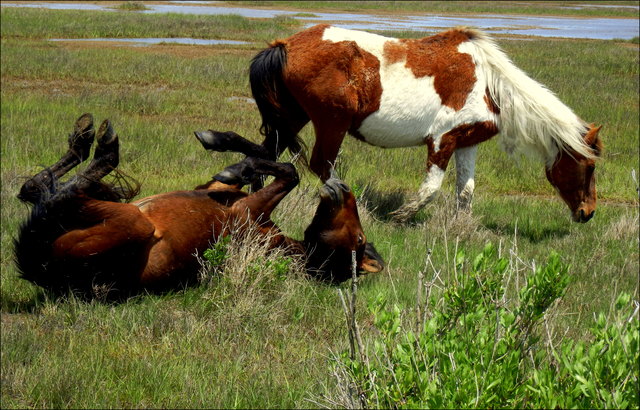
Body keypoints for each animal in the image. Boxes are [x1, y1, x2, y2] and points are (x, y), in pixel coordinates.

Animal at [14, 113, 384, 299]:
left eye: (360, 239)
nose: (343, 187)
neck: (278, 244)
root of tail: (42, 272)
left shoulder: (247, 210)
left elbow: (288, 172)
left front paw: (232, 158)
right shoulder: (218, 190)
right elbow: (259, 157)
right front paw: (224, 147)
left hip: (131, 221)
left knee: (55, 192)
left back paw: (99, 144)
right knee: (35, 187)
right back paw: (83, 138)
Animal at [206, 24, 603, 223]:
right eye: (589, 166)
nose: (588, 213)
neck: (488, 81)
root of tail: (284, 45)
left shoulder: (467, 142)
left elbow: (465, 191)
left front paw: (461, 229)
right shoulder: (442, 141)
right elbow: (431, 190)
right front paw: (400, 217)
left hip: (292, 116)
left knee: (265, 153)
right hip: (330, 122)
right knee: (321, 165)